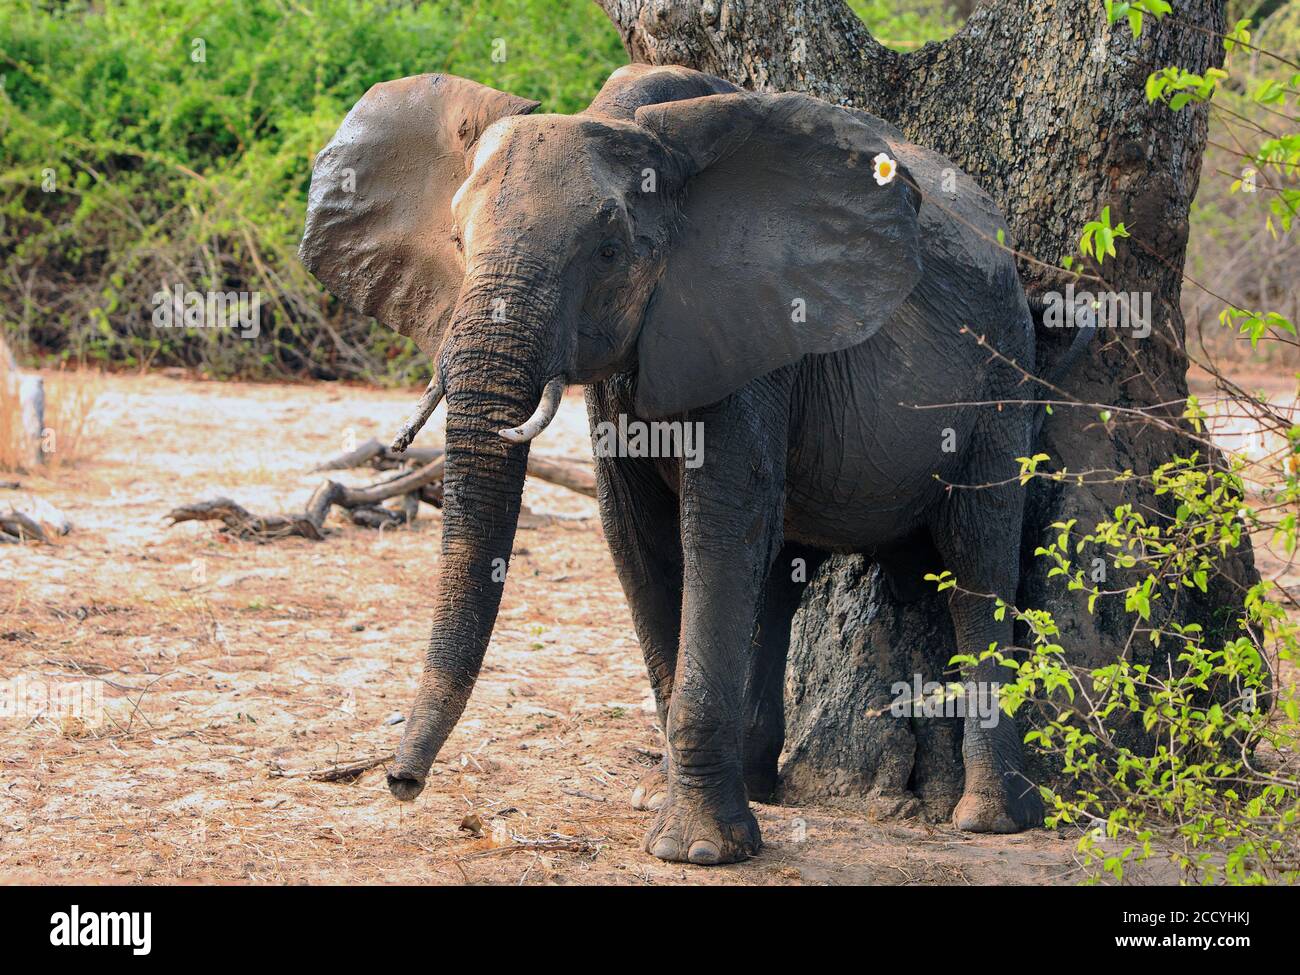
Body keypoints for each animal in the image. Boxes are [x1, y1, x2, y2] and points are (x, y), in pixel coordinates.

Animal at [300, 63, 1077, 865]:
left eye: (609, 252)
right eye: (456, 241)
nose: (399, 783)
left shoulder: (752, 327)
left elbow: (718, 526)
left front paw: (699, 850)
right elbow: (637, 536)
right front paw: (686, 813)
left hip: (1005, 366)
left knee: (978, 560)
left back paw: (987, 819)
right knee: (782, 576)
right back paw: (764, 787)